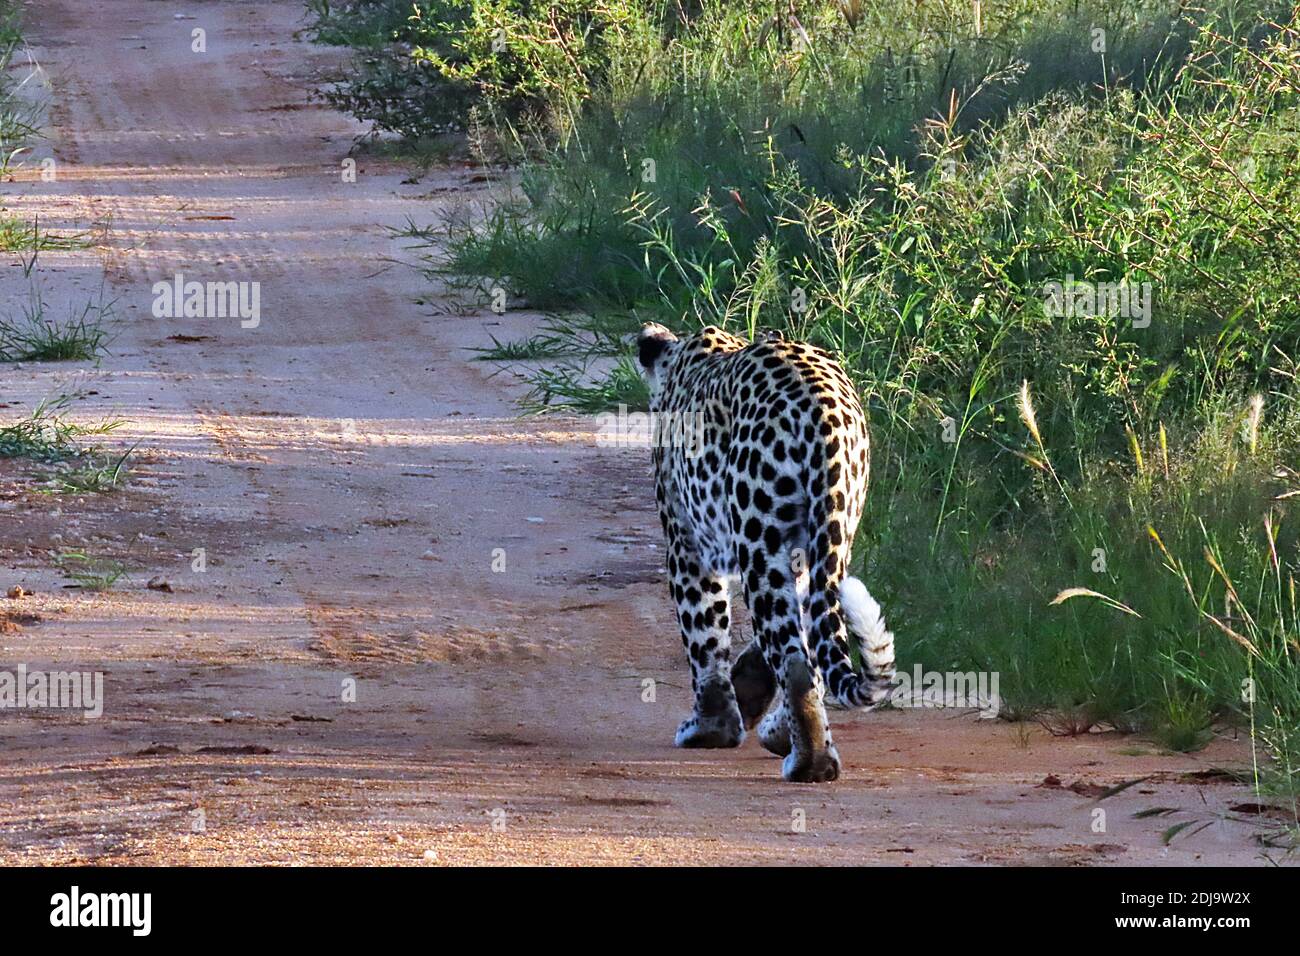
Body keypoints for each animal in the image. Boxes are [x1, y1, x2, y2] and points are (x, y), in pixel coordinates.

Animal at [636, 322, 896, 782]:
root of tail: (820, 405)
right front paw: (748, 694)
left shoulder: (685, 544)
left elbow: (704, 638)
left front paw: (712, 728)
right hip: (829, 537)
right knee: (810, 641)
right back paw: (784, 736)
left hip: (758, 544)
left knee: (793, 660)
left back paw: (808, 762)